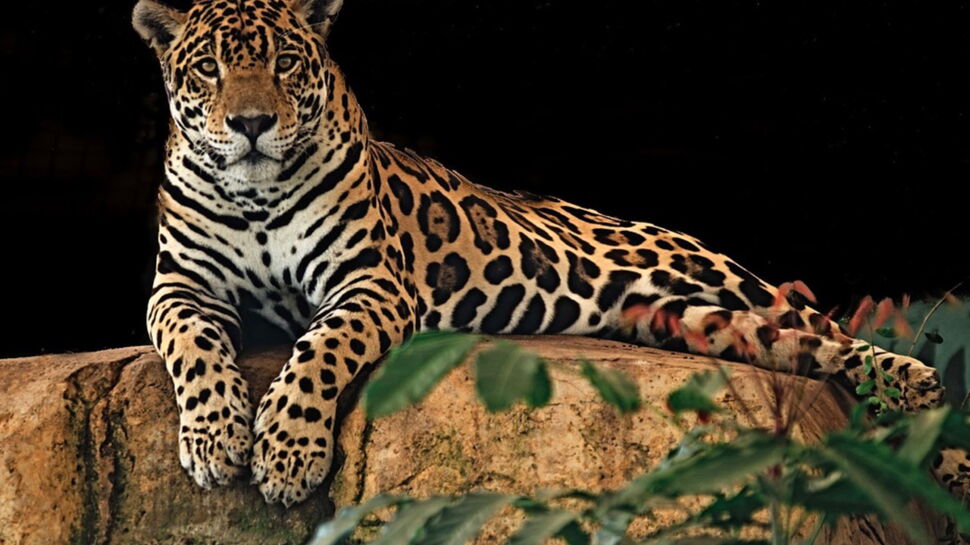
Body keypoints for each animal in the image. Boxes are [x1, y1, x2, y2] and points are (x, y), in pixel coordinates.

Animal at [132, 0, 964, 508]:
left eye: (285, 64)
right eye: (208, 68)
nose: (251, 123)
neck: (255, 195)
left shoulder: (369, 283)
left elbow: (318, 354)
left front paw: (285, 452)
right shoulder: (179, 287)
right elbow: (193, 346)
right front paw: (215, 439)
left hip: (717, 274)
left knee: (830, 330)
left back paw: (928, 408)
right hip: (691, 319)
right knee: (807, 348)